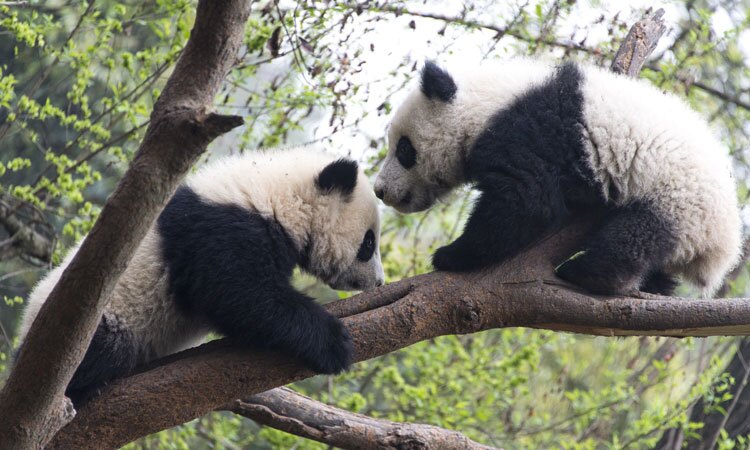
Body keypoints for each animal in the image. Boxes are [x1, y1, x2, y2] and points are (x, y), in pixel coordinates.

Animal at [18, 146, 384, 404]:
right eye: (368, 243)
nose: (379, 281)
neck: (274, 192)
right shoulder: (219, 229)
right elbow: (238, 293)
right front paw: (333, 342)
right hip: (95, 321)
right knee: (104, 349)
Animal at [374, 59, 742, 296]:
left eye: (404, 149)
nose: (380, 190)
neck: (485, 102)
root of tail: (724, 248)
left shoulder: (526, 132)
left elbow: (526, 201)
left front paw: (450, 255)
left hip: (679, 203)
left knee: (636, 236)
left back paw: (586, 273)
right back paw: (655, 284)